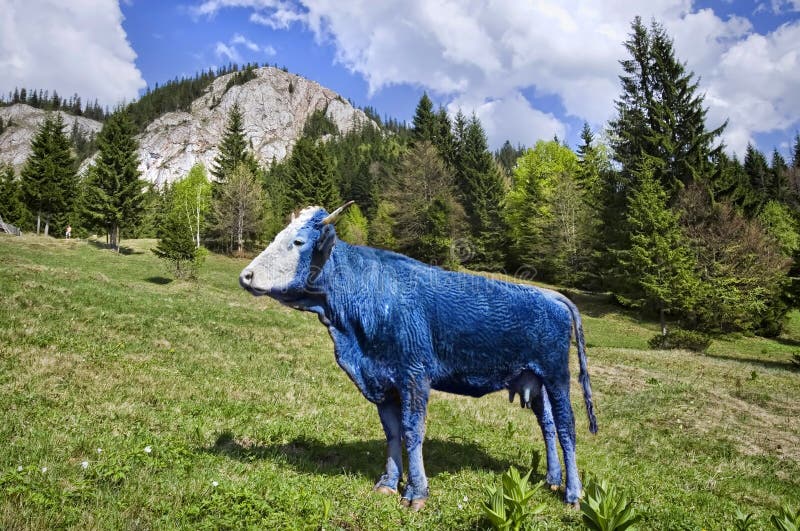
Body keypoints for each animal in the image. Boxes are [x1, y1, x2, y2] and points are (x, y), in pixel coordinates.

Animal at [239, 202, 597, 510]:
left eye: (298, 241)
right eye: (276, 236)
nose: (246, 276)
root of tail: (548, 293)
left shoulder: (414, 376)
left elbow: (413, 431)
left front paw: (416, 493)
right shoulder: (381, 380)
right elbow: (393, 432)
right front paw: (388, 483)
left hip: (557, 375)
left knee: (567, 427)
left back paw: (572, 494)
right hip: (534, 380)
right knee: (548, 424)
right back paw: (552, 479)